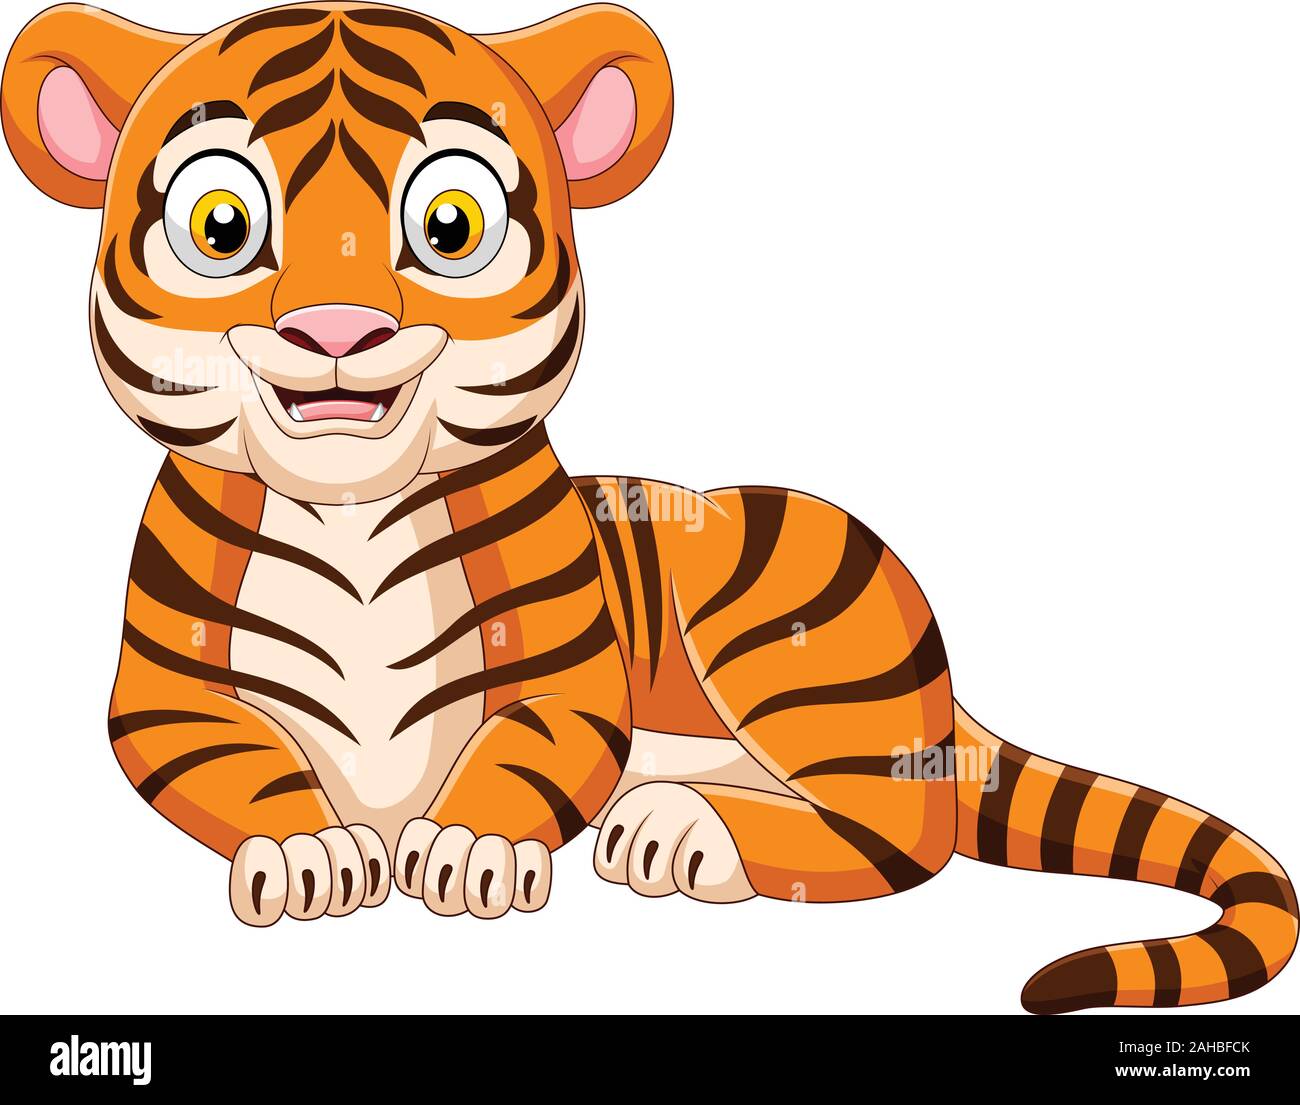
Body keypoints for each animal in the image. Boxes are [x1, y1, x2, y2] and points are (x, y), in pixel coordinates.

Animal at [2, 0, 1294, 1015]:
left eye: (448, 225)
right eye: (221, 225)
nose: (335, 332)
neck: (352, 510)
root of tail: (947, 698)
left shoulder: (568, 687)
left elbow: (523, 754)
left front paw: (467, 847)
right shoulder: (163, 698)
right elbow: (239, 765)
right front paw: (311, 846)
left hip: (769, 589)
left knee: (904, 828)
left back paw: (684, 828)